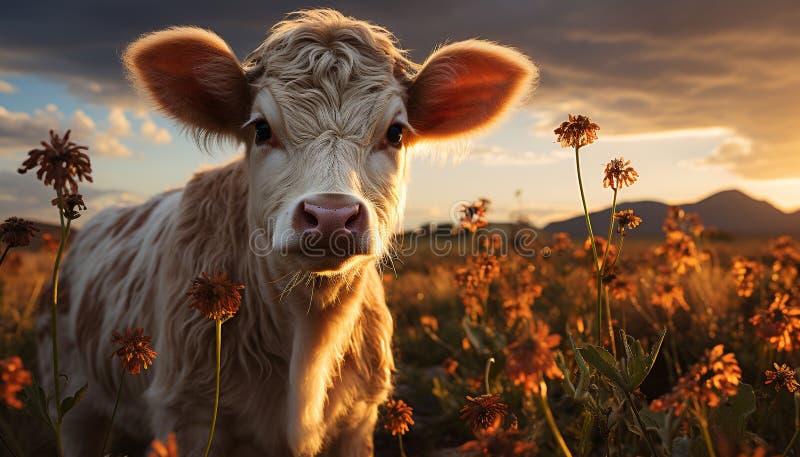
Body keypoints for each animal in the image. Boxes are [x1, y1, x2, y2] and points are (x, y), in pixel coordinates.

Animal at [37, 8, 537, 456]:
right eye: (261, 129)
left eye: (395, 133)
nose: (331, 214)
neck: (309, 328)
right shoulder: (188, 416)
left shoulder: (359, 419)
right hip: (72, 405)